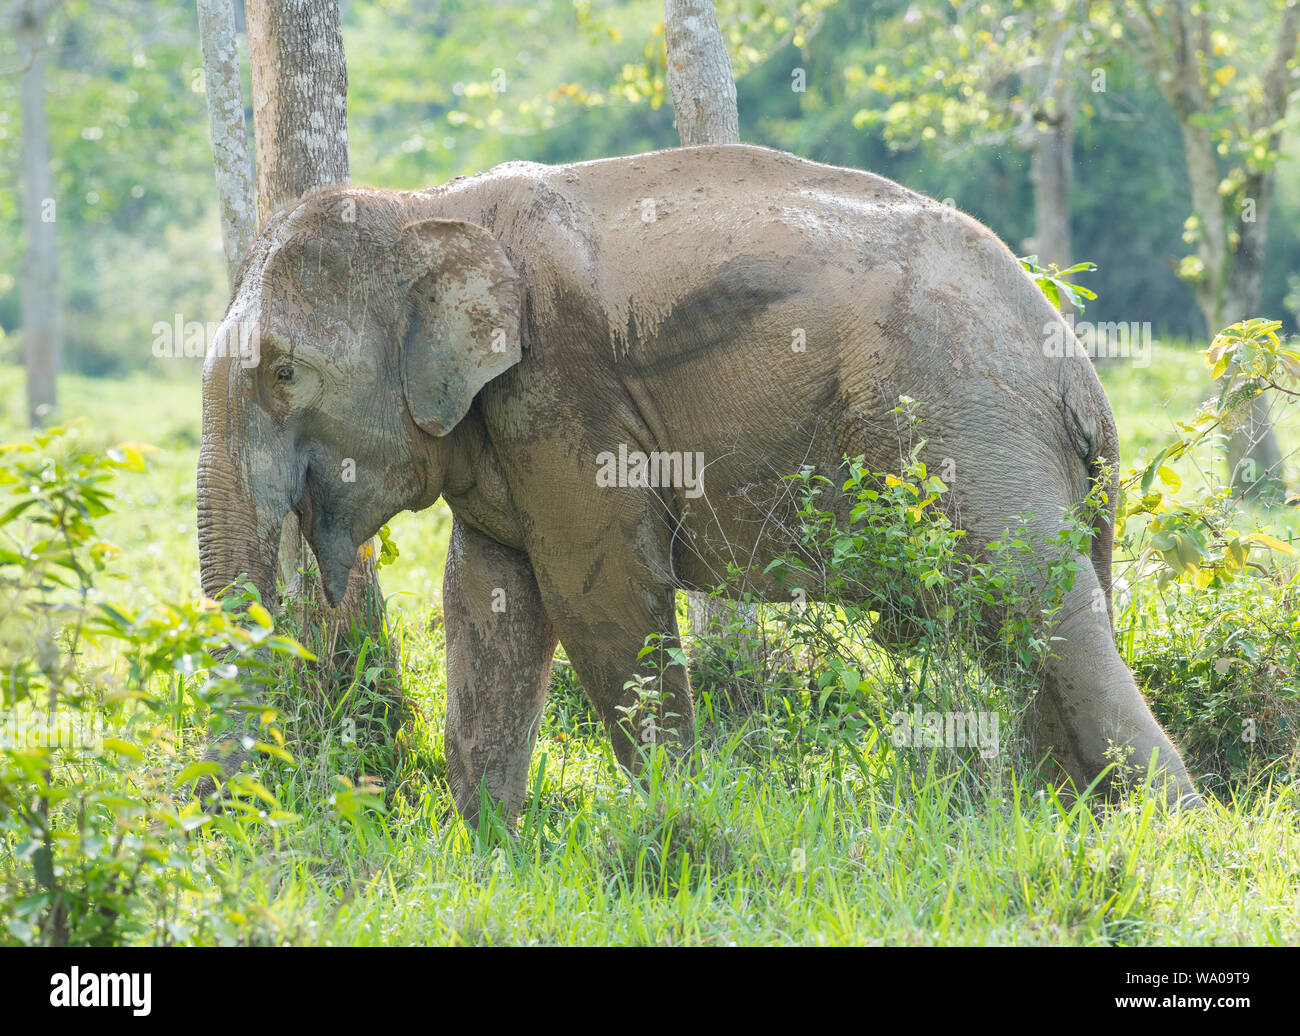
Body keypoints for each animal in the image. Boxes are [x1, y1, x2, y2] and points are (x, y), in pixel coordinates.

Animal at [196, 142, 1201, 823]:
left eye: (283, 373)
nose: (232, 821)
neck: (426, 204)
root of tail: (1074, 366)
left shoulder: (566, 388)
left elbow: (601, 593)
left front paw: (675, 816)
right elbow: (487, 599)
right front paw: (489, 845)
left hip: (965, 421)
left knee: (1040, 609)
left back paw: (1170, 834)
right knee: (1037, 632)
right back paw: (1068, 817)